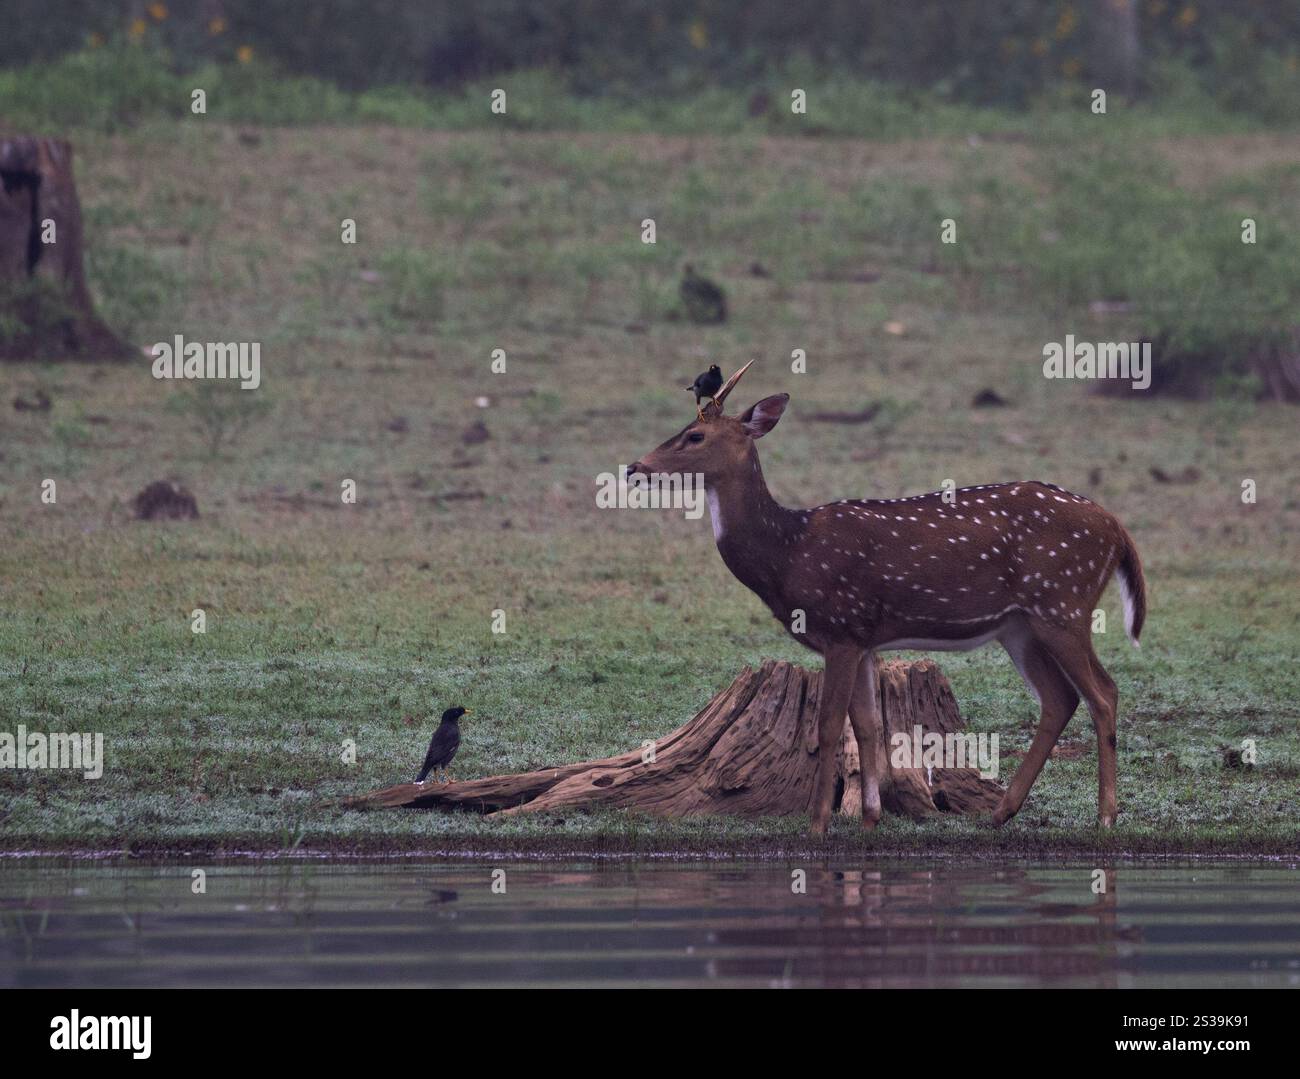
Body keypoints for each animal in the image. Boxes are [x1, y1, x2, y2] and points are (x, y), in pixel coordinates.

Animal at [627, 362, 1146, 837]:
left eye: (694, 435)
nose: (635, 467)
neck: (788, 554)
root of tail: (1117, 529)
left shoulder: (840, 627)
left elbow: (829, 725)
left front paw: (817, 825)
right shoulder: (863, 637)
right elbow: (868, 724)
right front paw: (870, 817)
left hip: (1063, 602)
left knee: (1103, 692)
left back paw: (1105, 816)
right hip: (1019, 625)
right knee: (1060, 698)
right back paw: (1002, 812)